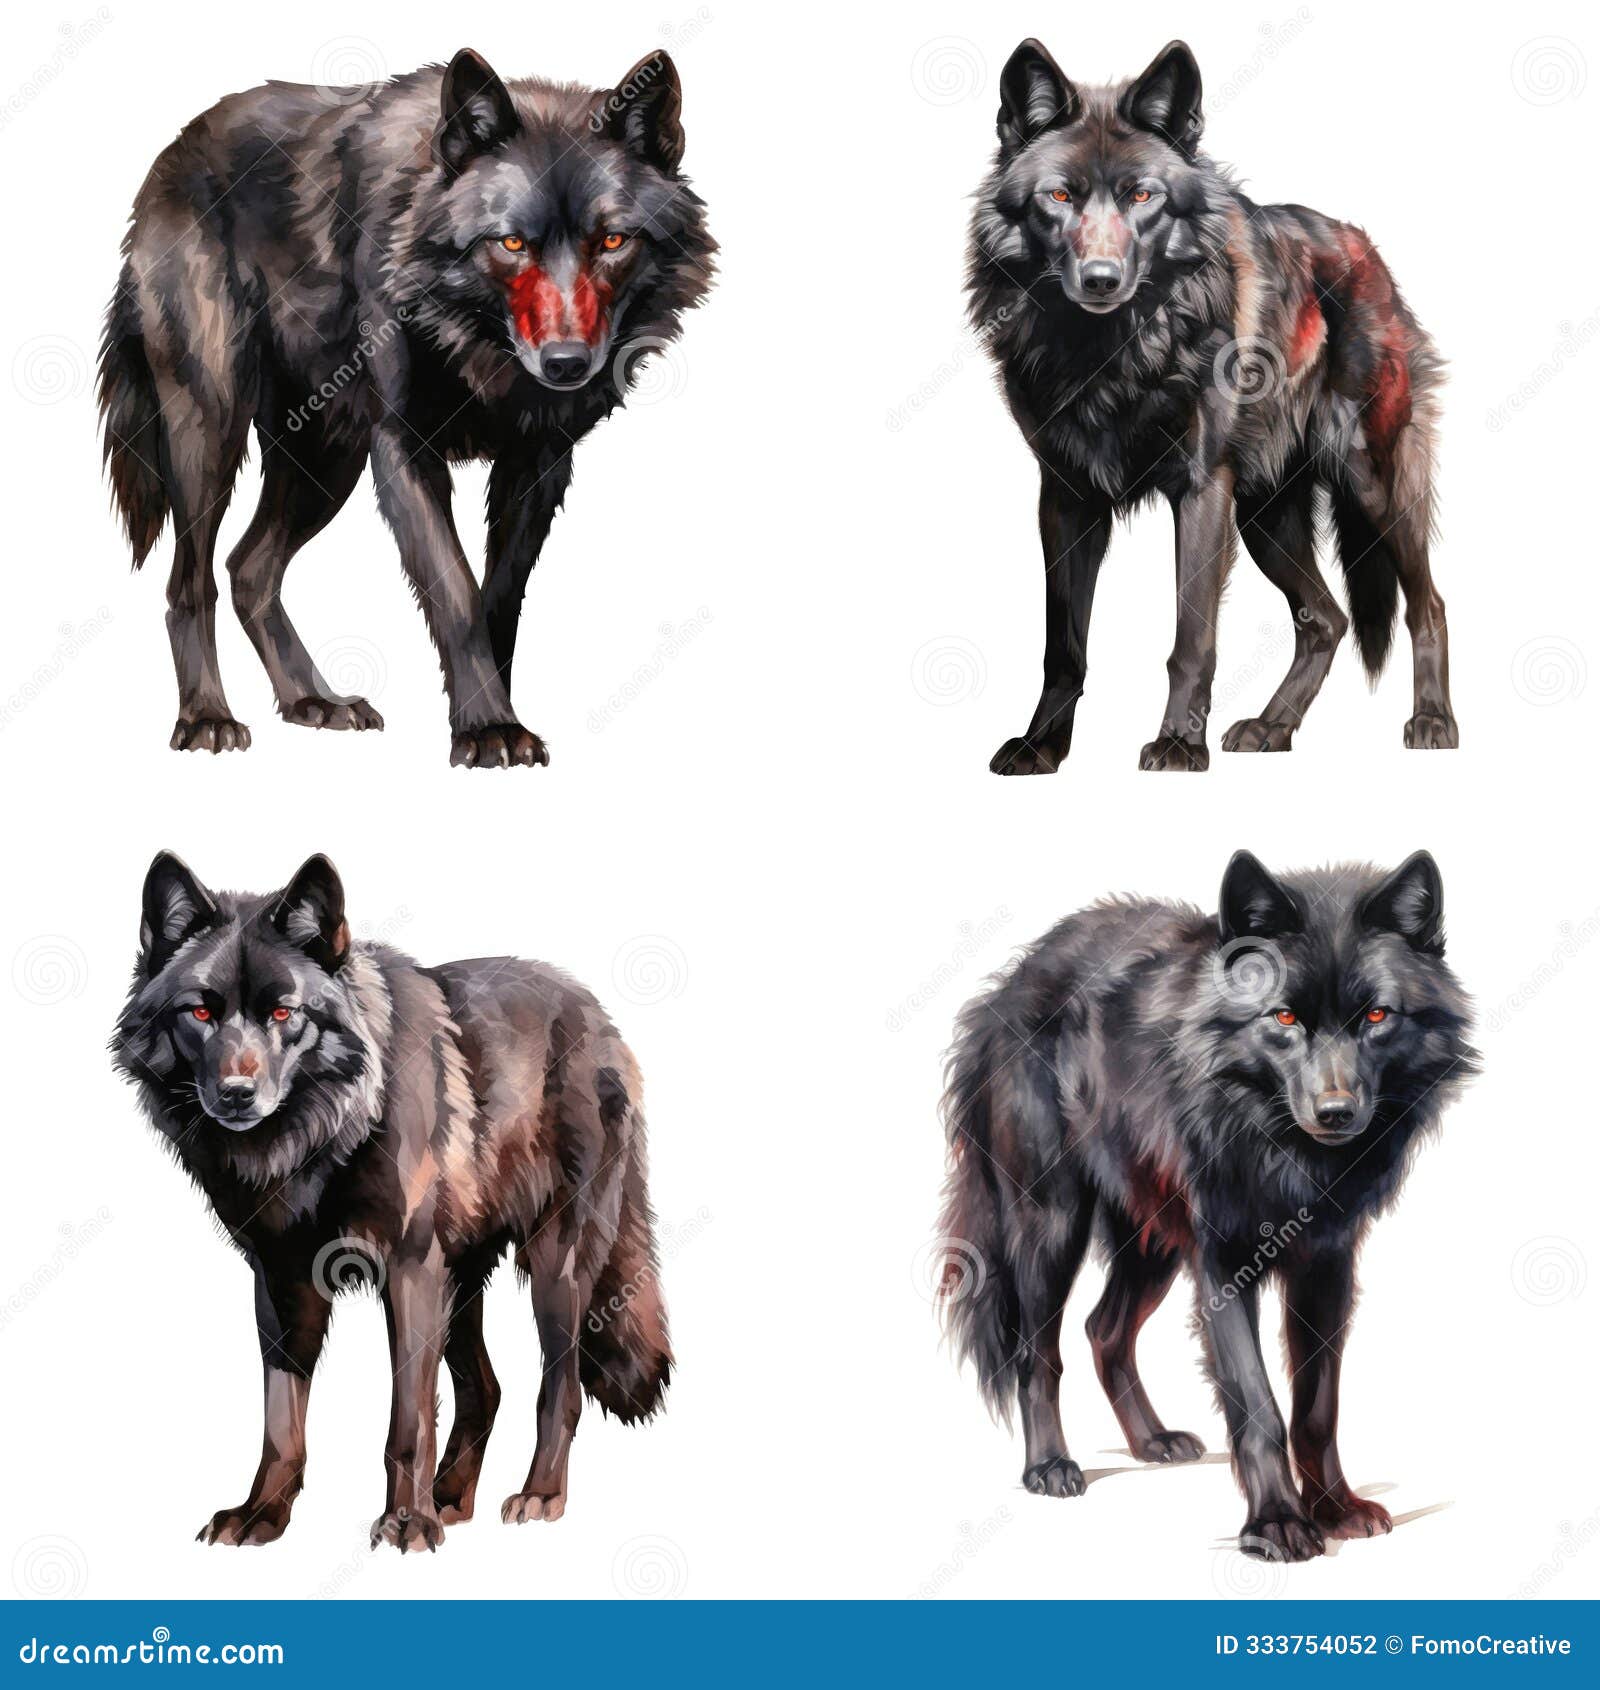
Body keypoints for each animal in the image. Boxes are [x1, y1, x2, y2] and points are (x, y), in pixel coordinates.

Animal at [99, 49, 714, 766]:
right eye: (510, 244)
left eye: (613, 241)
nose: (565, 363)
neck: (472, 335)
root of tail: (169, 156)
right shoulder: (404, 447)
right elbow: (456, 592)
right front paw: (487, 728)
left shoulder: (537, 463)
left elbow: (499, 598)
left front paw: (492, 715)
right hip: (213, 432)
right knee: (190, 581)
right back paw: (206, 718)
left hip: (324, 458)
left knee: (249, 570)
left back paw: (313, 702)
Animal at [110, 852, 670, 1548]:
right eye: (201, 1014)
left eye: (283, 1014)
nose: (238, 1094)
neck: (325, 1138)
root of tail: (599, 1016)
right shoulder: (282, 1281)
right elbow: (281, 1422)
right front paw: (263, 1514)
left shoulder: (409, 1269)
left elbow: (407, 1421)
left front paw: (407, 1523)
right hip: (462, 1283)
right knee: (486, 1389)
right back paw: (452, 1499)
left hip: (553, 1269)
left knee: (559, 1388)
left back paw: (538, 1495)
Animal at [936, 851, 1476, 1559]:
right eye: (1284, 1018)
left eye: (1378, 1017)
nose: (1335, 1112)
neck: (1281, 1149)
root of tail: (1008, 986)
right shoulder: (1224, 1264)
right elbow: (1258, 1405)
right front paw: (1277, 1524)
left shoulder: (1326, 1267)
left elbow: (1317, 1409)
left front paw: (1334, 1510)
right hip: (1052, 1226)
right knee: (1038, 1352)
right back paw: (1050, 1466)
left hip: (1153, 1243)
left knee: (1103, 1330)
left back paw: (1152, 1442)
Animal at [970, 41, 1456, 773]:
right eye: (1059, 196)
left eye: (1143, 196)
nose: (1102, 280)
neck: (1111, 356)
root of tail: (1366, 252)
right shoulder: (1066, 498)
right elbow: (1064, 646)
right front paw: (1042, 746)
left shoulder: (1201, 488)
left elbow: (1191, 637)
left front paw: (1177, 744)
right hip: (1263, 518)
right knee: (1328, 618)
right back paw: (1271, 729)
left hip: (1369, 485)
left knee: (1428, 604)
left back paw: (1432, 721)